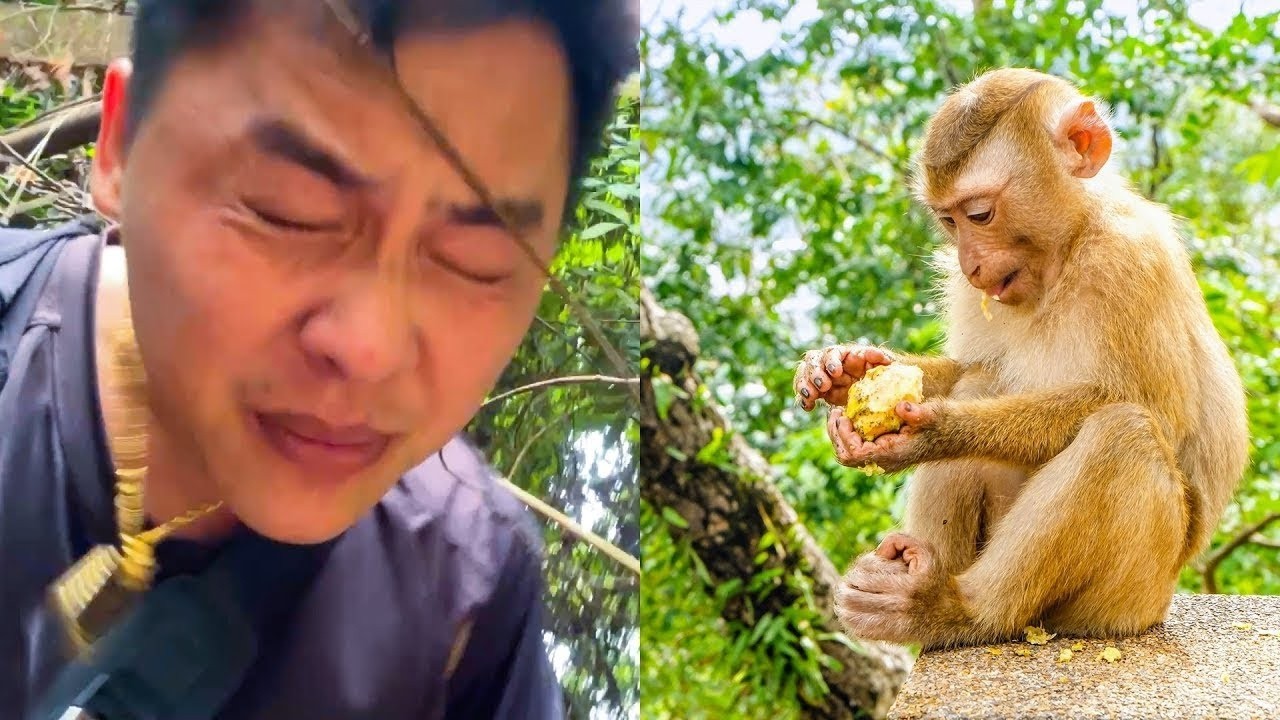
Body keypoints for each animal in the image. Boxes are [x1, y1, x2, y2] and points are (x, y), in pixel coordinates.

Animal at [791, 67, 1249, 649]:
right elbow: (967, 368)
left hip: (1127, 600)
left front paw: (940, 431)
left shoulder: (1130, 259)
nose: (970, 263)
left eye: (980, 214)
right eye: (949, 222)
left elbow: (1161, 413)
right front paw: (843, 370)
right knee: (983, 381)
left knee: (1125, 435)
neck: (1066, 252)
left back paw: (954, 609)